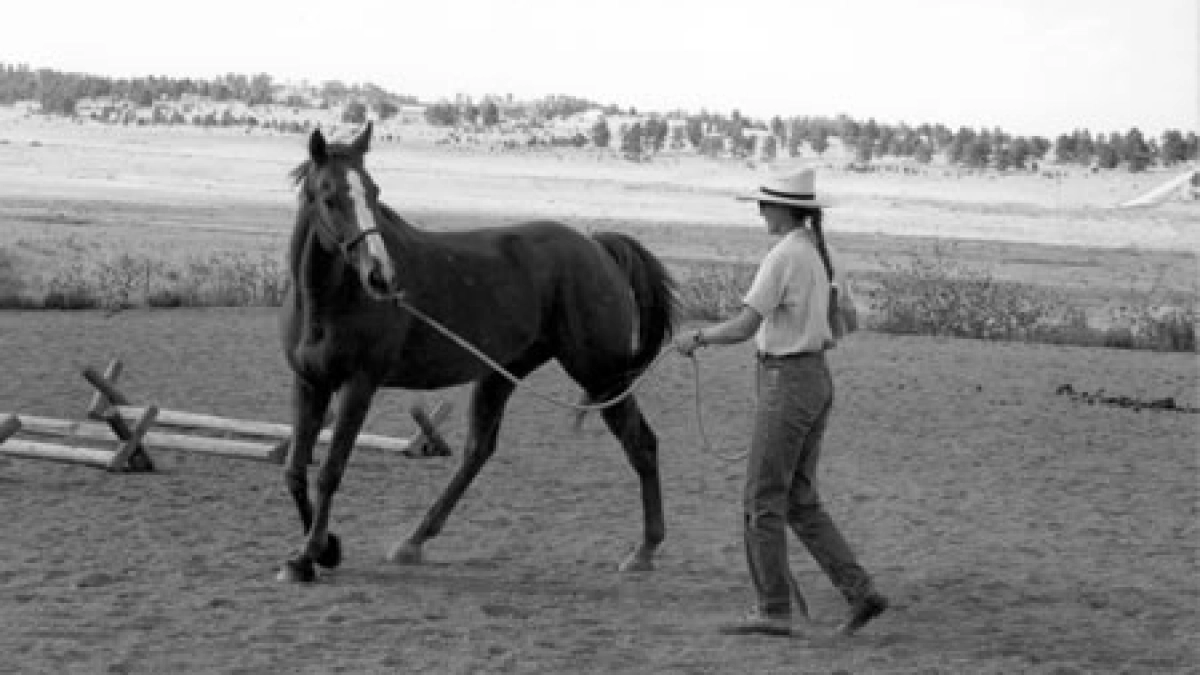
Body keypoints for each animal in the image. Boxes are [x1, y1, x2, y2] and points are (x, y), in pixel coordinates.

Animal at [277, 122, 681, 582]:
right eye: (328, 196)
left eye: (373, 193)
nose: (381, 276)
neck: (325, 302)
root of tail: (596, 248)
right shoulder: (309, 382)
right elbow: (294, 471)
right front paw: (321, 550)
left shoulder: (359, 386)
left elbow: (329, 471)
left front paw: (311, 553)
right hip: (504, 374)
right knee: (477, 451)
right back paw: (413, 541)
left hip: (601, 375)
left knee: (640, 444)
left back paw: (644, 550)